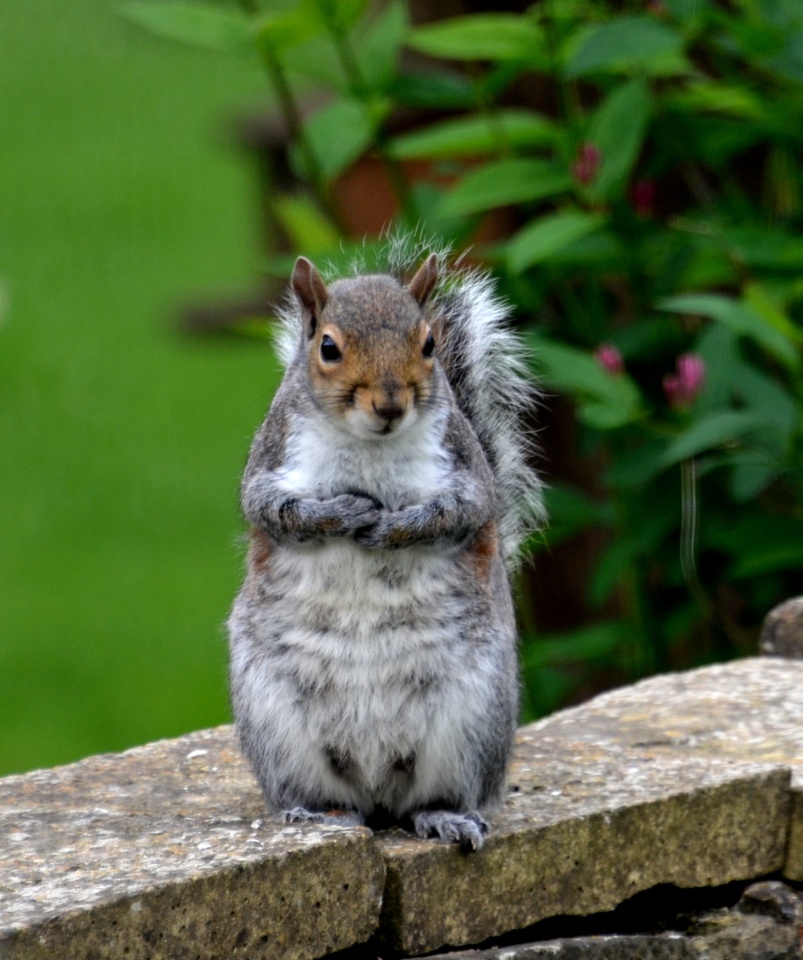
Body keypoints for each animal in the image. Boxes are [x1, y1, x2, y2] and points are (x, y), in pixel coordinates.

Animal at [227, 237, 543, 850]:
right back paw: (317, 813)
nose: (390, 404)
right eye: (327, 347)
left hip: (470, 721)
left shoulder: (468, 473)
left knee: (427, 799)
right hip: (274, 719)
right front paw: (342, 512)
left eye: (429, 344)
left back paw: (443, 816)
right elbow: (272, 510)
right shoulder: (271, 461)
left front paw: (394, 527)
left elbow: (460, 512)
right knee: (325, 795)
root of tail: (375, 789)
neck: (367, 445)